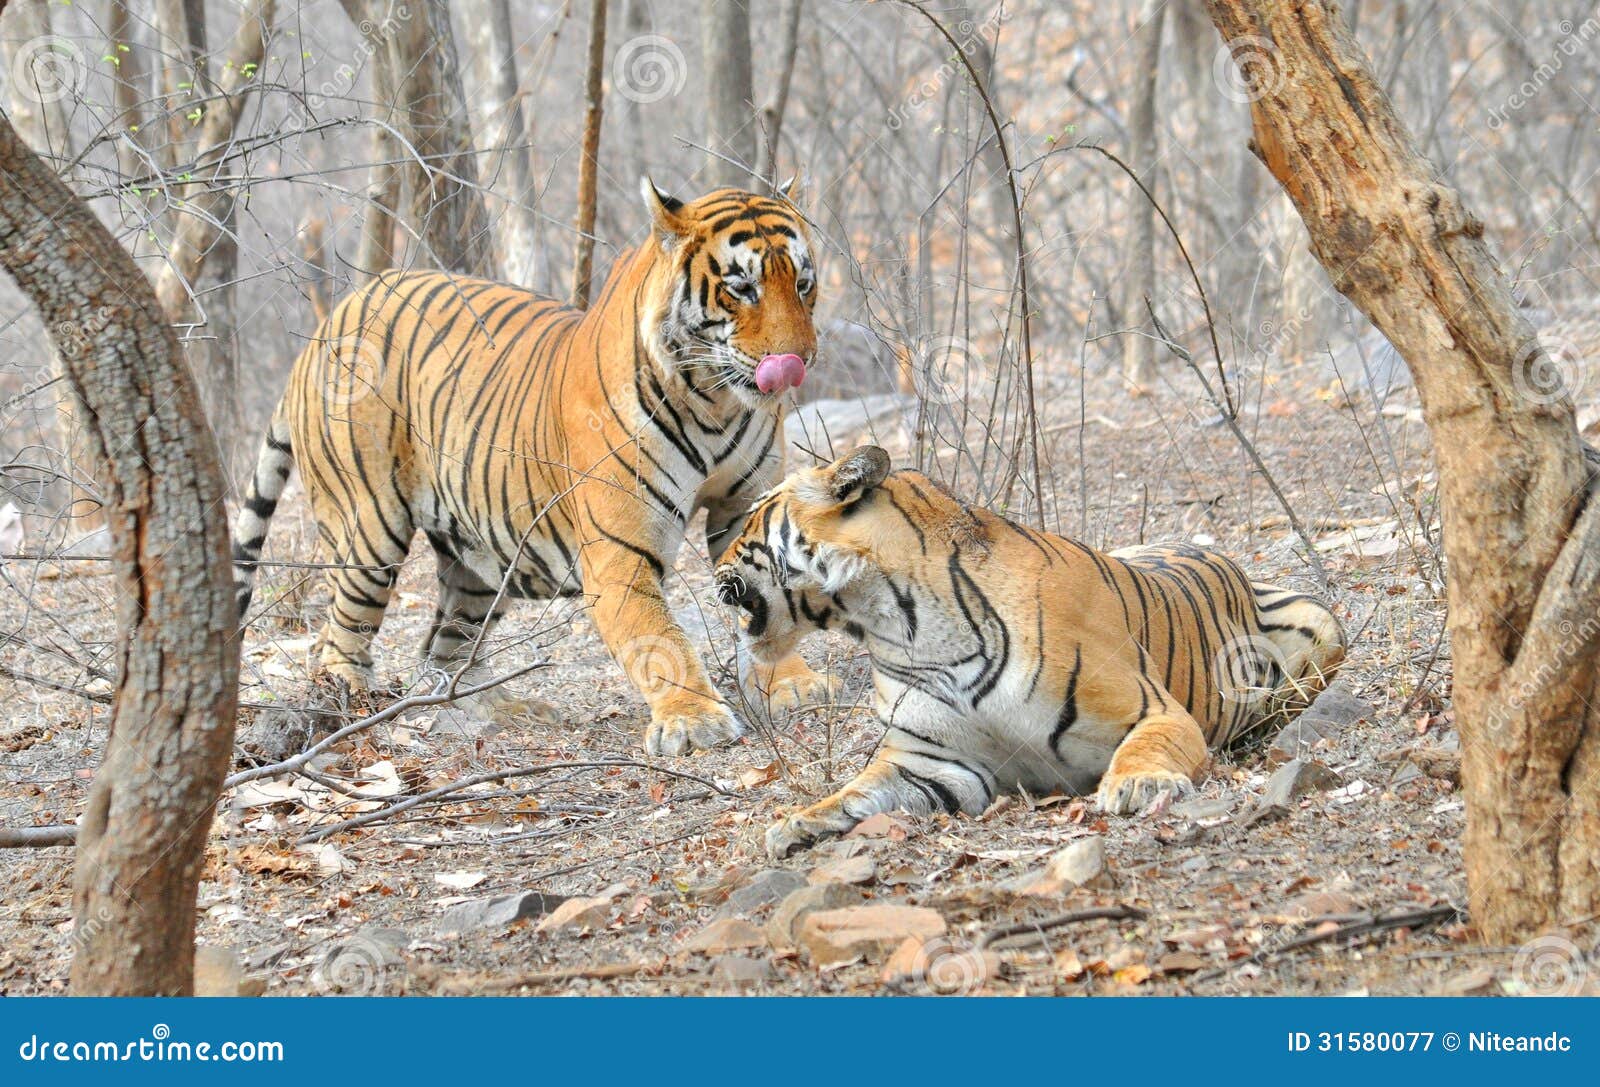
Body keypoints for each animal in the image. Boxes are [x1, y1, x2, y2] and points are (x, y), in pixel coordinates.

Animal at [232, 180, 839, 755]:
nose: (800, 361)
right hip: (369, 528)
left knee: (441, 653)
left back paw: (498, 710)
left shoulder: (742, 511)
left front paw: (792, 685)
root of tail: (326, 324)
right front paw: (694, 722)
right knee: (337, 638)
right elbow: (657, 638)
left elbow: (764, 600)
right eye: (742, 288)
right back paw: (350, 701)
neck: (714, 400)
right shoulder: (619, 550)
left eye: (803, 284)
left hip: (477, 566)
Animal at [712, 447, 1346, 858]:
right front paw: (794, 824)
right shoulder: (933, 762)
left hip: (1323, 632)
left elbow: (1148, 747)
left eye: (748, 521)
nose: (709, 562)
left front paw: (1139, 786)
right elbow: (854, 793)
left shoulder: (1155, 710)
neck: (900, 625)